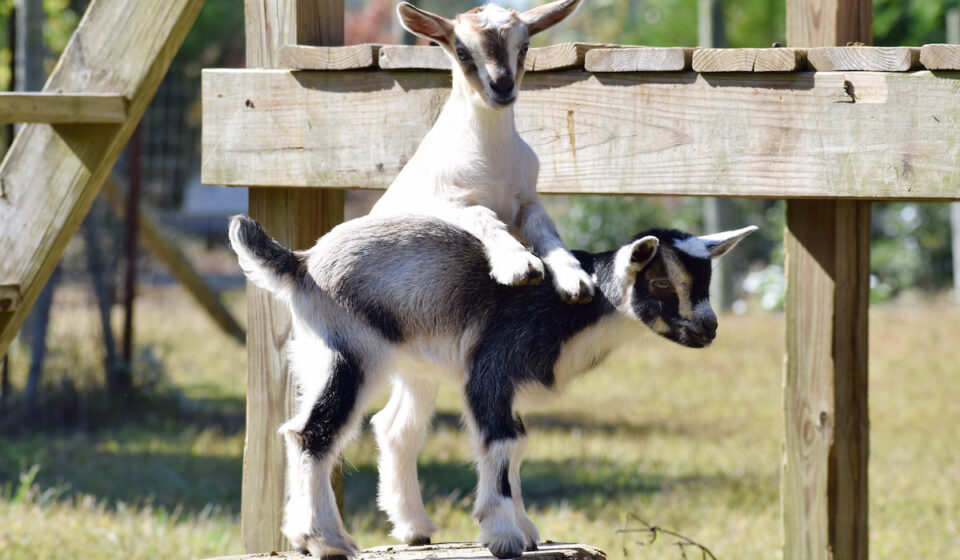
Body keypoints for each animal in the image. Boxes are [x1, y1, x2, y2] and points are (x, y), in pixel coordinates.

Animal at [230, 213, 756, 559]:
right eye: (663, 284)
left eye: (705, 282)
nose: (708, 329)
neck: (579, 308)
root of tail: (301, 262)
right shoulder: (491, 367)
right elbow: (502, 441)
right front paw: (503, 535)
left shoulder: (506, 385)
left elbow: (518, 444)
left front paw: (525, 528)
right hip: (349, 350)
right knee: (313, 433)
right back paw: (327, 540)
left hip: (370, 360)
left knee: (386, 428)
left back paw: (404, 527)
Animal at [370, 0, 595, 305]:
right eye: (462, 51)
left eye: (524, 46)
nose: (502, 86)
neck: (494, 161)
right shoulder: (442, 203)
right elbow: (480, 214)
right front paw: (520, 265)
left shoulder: (527, 199)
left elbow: (541, 226)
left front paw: (575, 280)